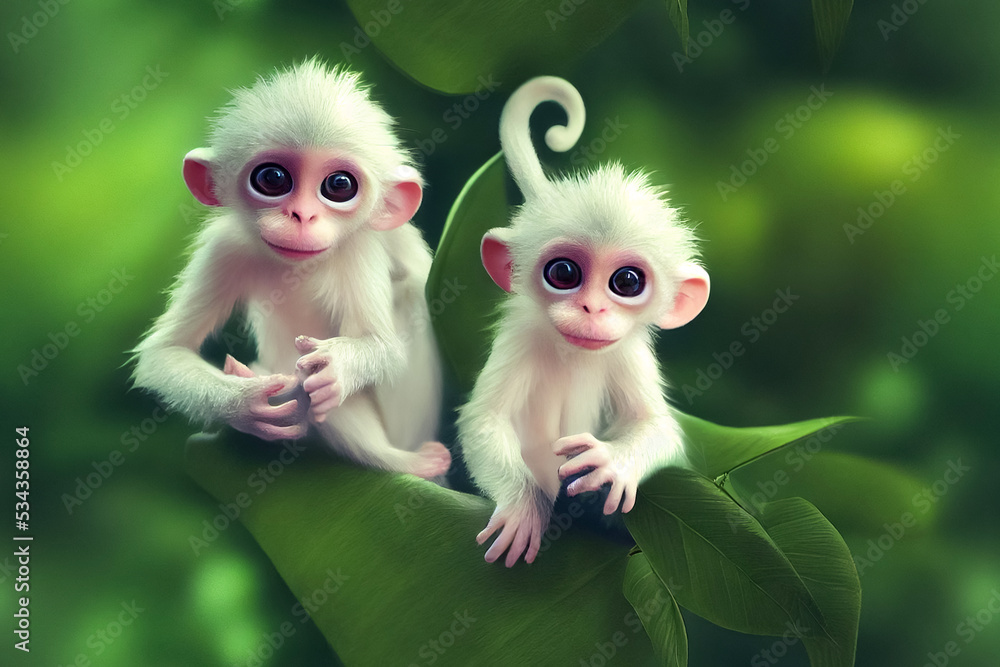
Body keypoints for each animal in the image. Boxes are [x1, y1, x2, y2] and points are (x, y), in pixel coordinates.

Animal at [132, 59, 450, 480]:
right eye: (272, 178)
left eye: (339, 185)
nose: (301, 215)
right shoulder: (224, 247)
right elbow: (165, 353)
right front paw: (243, 402)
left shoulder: (360, 249)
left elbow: (383, 348)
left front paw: (335, 366)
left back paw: (399, 460)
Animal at [456, 77, 710, 566]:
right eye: (563, 274)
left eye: (626, 282)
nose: (593, 309)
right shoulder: (519, 337)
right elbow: (484, 419)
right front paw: (524, 506)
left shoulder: (630, 353)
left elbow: (660, 428)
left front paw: (613, 461)